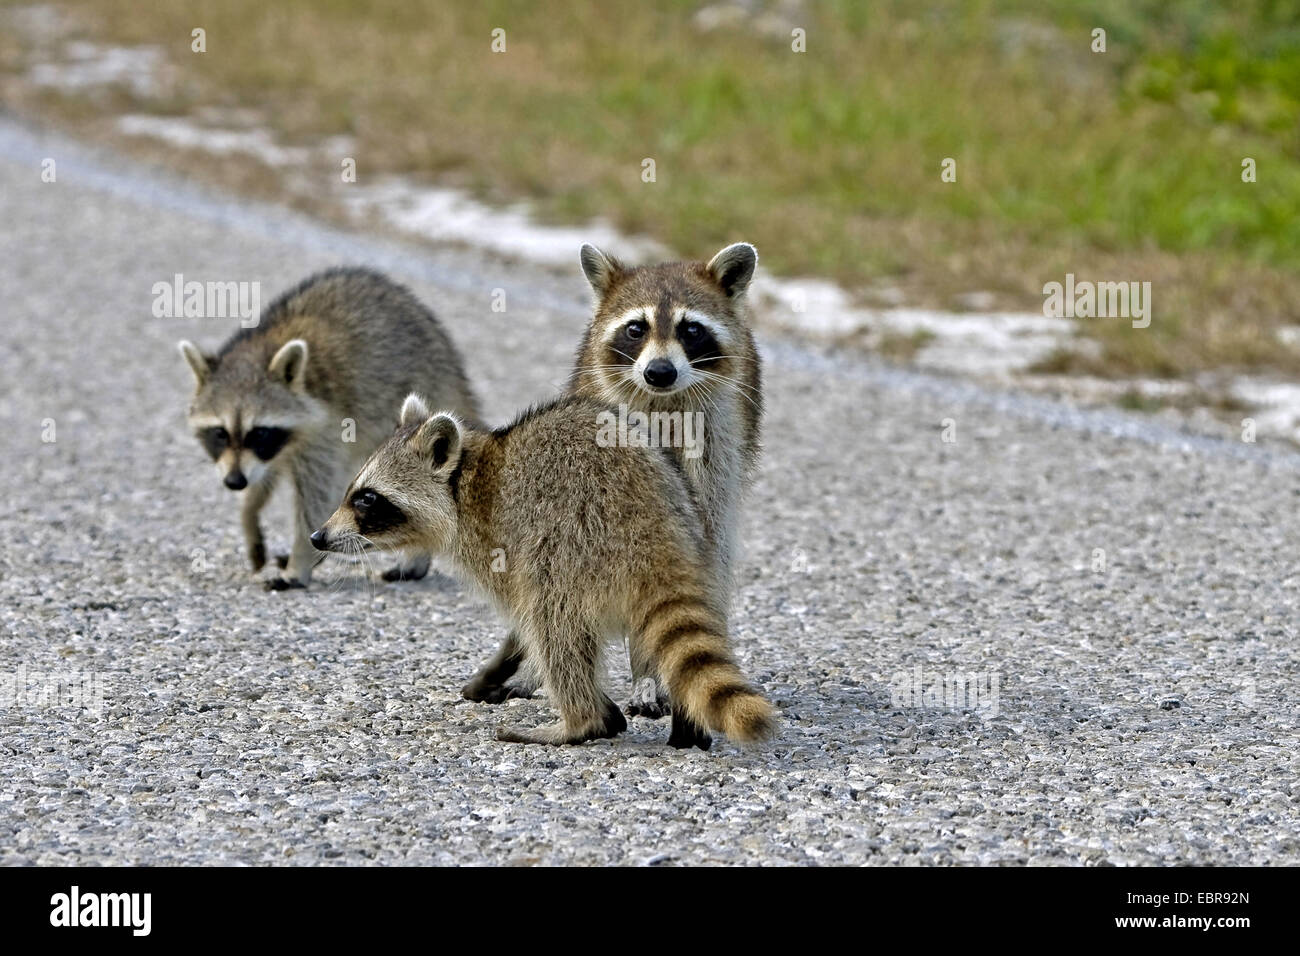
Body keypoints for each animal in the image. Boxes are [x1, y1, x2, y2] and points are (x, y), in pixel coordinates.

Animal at [177, 267, 480, 590]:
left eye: (258, 432)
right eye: (220, 433)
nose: (234, 482)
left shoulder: (325, 429)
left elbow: (316, 497)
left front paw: (298, 562)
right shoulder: (273, 452)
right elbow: (263, 478)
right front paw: (250, 516)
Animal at [311, 393, 775, 749]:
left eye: (366, 499)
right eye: (354, 492)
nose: (317, 537)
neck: (463, 479)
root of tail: (657, 533)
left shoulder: (496, 536)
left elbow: (526, 619)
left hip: (575, 541)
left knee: (552, 618)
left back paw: (580, 718)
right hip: (692, 528)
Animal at [462, 243, 763, 716]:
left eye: (691, 330)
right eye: (636, 328)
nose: (660, 371)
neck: (663, 401)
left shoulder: (718, 439)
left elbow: (696, 554)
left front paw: (651, 673)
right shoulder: (604, 429)